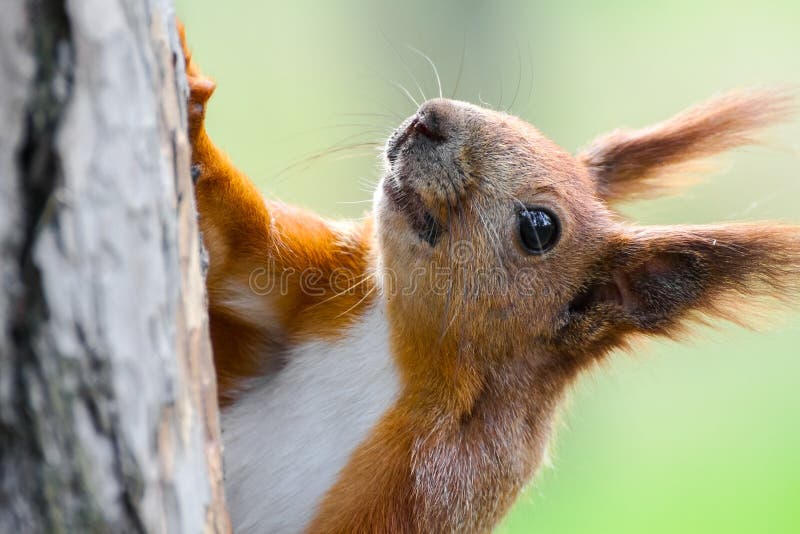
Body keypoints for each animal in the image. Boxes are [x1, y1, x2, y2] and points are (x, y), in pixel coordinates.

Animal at [179, 25, 800, 534]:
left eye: (539, 228)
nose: (429, 119)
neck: (397, 350)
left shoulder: (443, 490)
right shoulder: (326, 281)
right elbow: (235, 246)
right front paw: (186, 92)